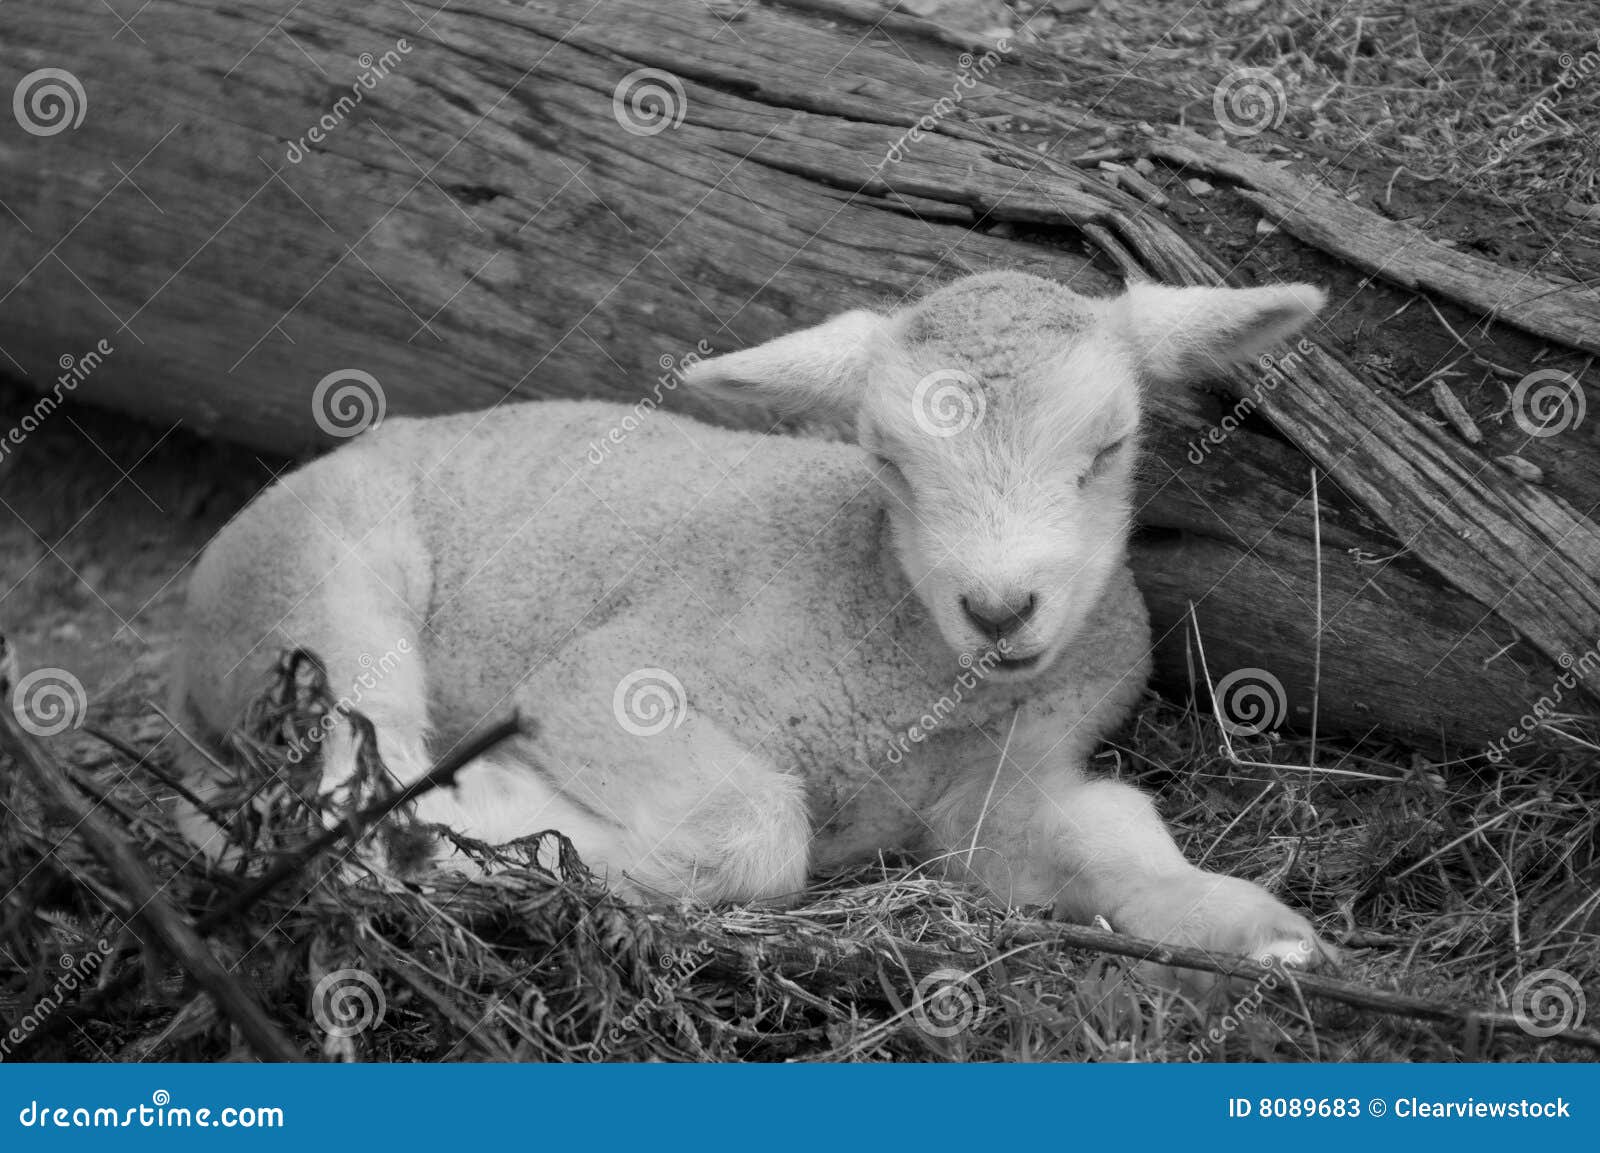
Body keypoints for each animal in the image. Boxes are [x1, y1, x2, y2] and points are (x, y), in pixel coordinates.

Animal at [171, 270, 1334, 974]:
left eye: (1109, 448)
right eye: (887, 460)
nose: (999, 608)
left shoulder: (1005, 781)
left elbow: (1110, 837)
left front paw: (1256, 932)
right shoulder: (607, 679)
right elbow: (756, 828)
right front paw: (525, 823)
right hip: (318, 586)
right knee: (342, 786)